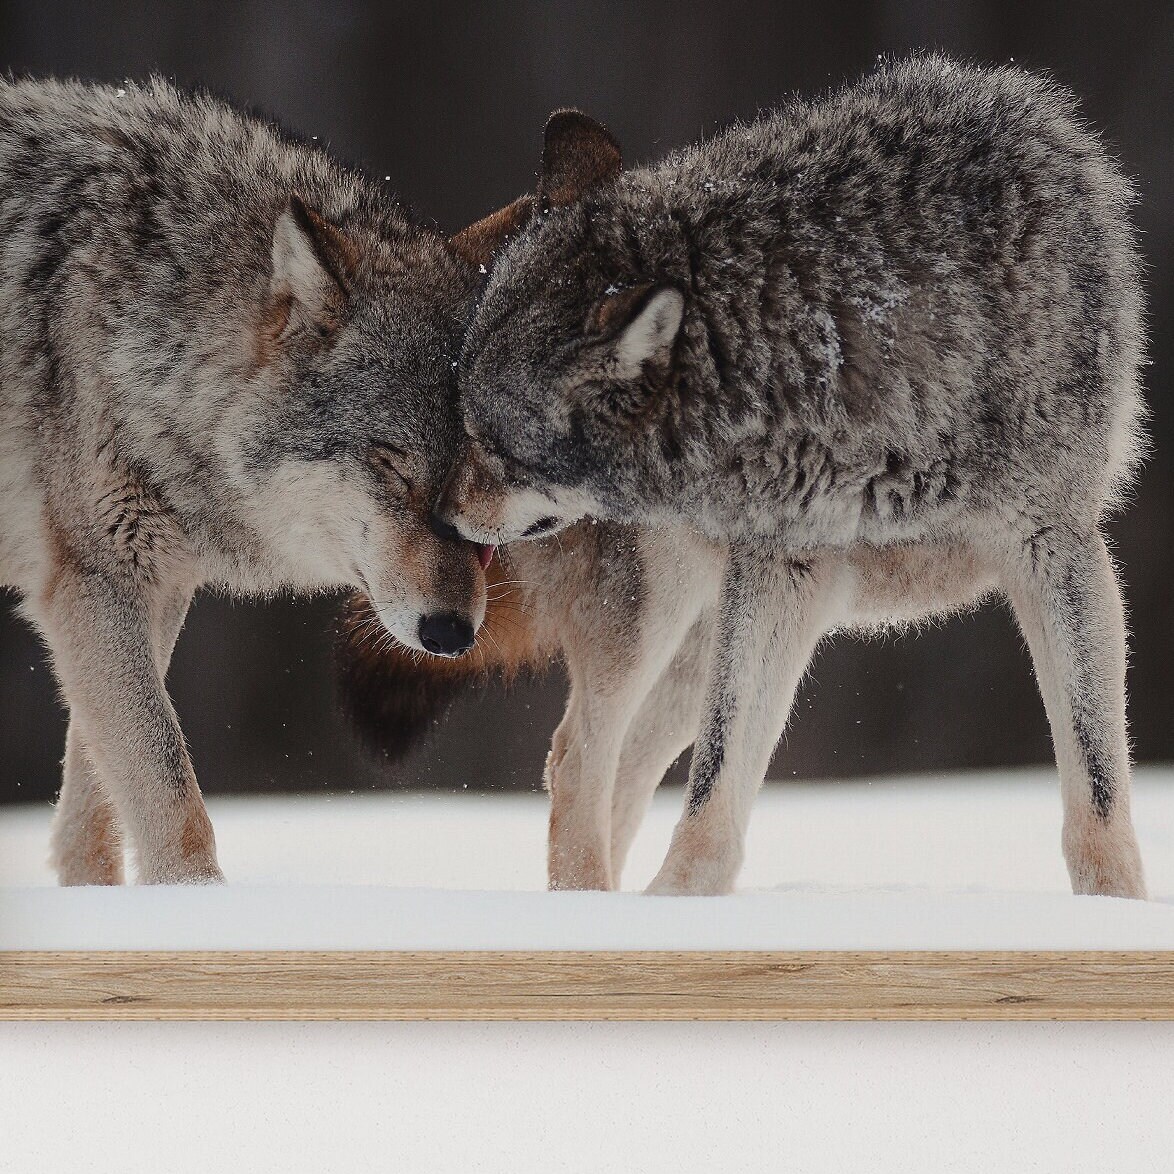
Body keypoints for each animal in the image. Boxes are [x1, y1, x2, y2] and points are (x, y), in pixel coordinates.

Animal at [0, 76, 511, 885]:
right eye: (392, 465)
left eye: (487, 493)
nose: (452, 633)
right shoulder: (95, 581)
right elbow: (168, 792)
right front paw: (194, 905)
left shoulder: (151, 588)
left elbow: (96, 804)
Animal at [429, 56, 1149, 897]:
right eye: (464, 423)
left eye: (492, 442)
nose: (439, 514)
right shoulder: (782, 567)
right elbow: (714, 793)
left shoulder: (1056, 550)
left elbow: (1096, 793)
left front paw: (1117, 913)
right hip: (660, 617)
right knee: (578, 757)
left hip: (698, 638)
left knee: (617, 765)